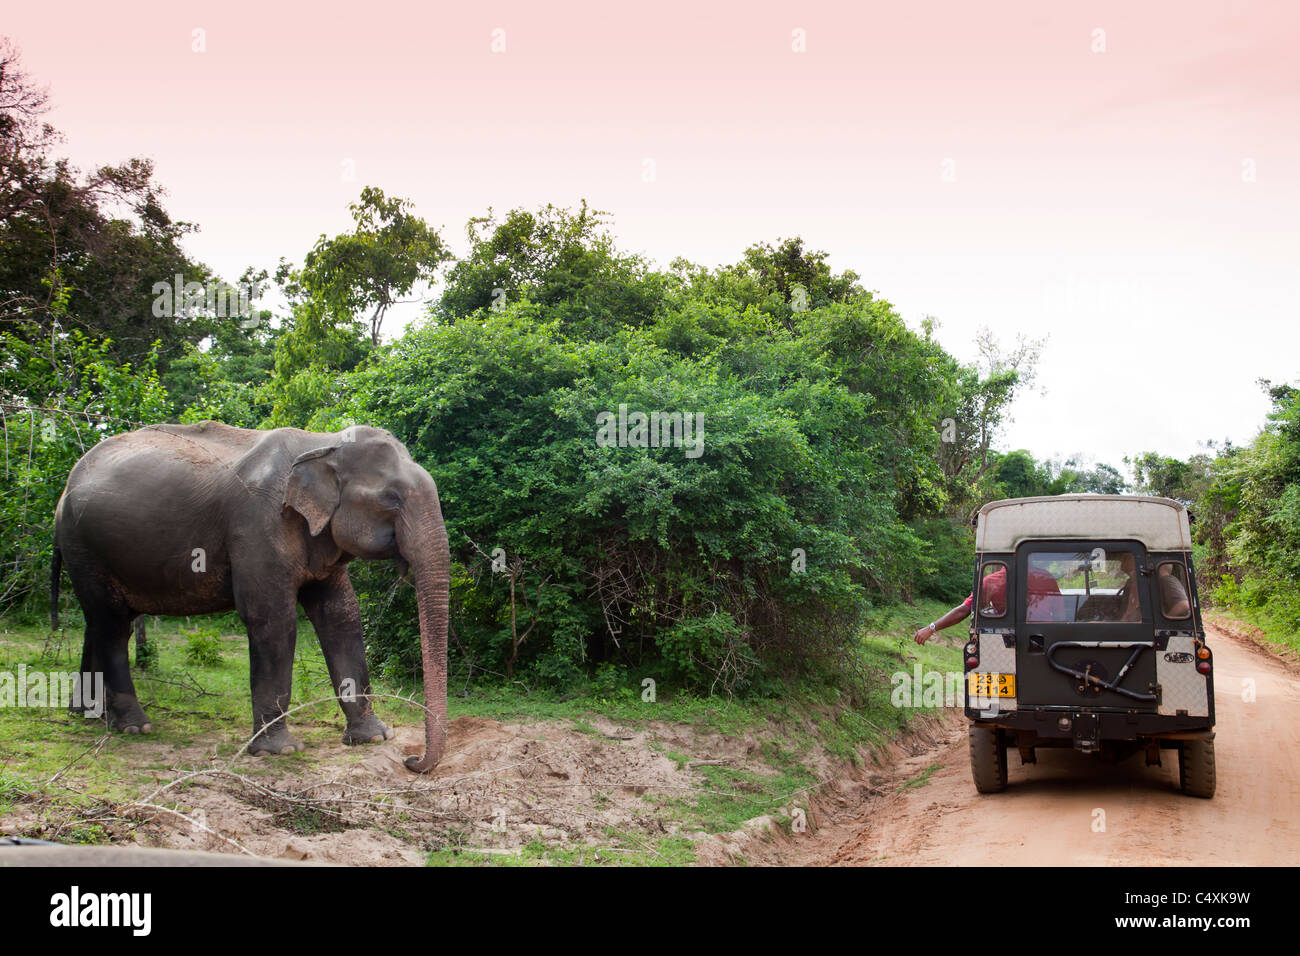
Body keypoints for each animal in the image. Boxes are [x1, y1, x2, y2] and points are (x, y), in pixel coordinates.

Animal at [50, 421, 448, 772]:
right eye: (392, 500)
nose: (411, 760)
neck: (323, 442)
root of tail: (65, 488)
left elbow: (342, 616)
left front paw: (373, 738)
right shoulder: (258, 525)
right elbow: (272, 619)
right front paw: (279, 751)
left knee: (101, 621)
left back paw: (89, 714)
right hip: (83, 546)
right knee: (111, 623)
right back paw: (135, 726)